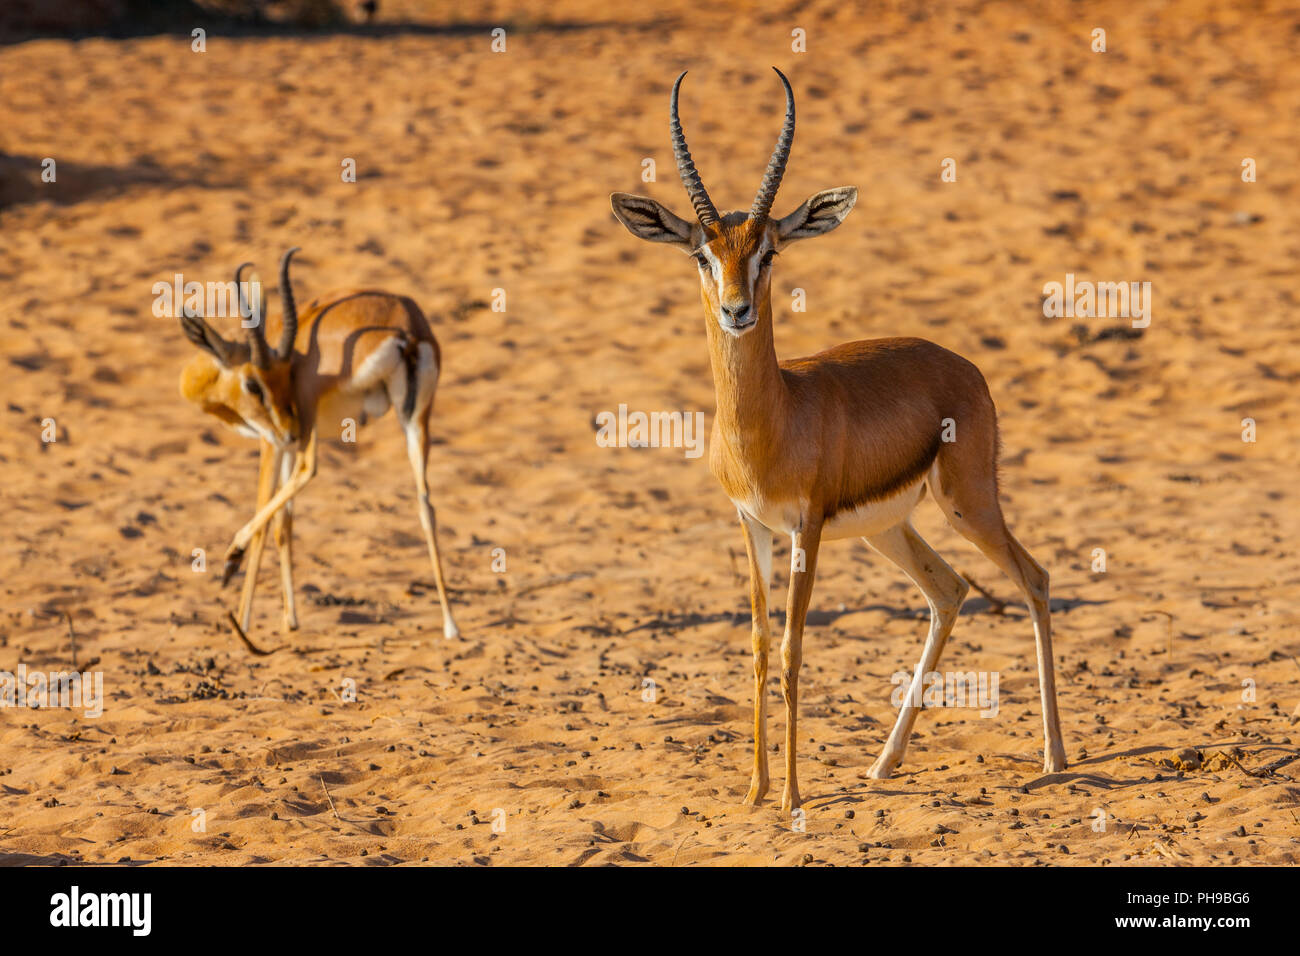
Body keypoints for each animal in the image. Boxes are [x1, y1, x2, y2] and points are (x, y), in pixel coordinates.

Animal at [177, 247, 460, 641]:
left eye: (257, 383)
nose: (289, 427)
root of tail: (407, 328)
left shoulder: (273, 442)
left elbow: (267, 518)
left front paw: (243, 619)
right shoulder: (284, 441)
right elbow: (284, 524)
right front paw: (289, 620)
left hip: (311, 417)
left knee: (309, 469)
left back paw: (234, 559)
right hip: (415, 421)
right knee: (425, 503)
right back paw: (450, 625)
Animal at [610, 70, 1065, 812]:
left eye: (769, 250)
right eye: (704, 254)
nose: (737, 310)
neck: (771, 423)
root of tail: (963, 365)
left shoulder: (809, 526)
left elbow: (794, 649)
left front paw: (794, 797)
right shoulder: (751, 524)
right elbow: (759, 643)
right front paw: (756, 790)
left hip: (966, 503)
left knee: (1033, 578)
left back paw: (1055, 757)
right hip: (888, 529)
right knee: (949, 589)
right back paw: (883, 763)